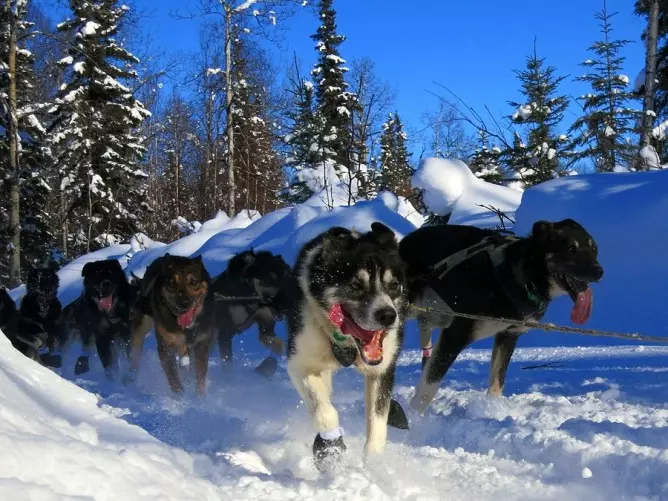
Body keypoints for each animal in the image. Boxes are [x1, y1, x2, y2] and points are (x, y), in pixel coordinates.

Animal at [128, 254, 214, 394]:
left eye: (194, 282)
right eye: (172, 284)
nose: (184, 303)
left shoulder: (201, 344)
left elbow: (200, 378)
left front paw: (199, 397)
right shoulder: (166, 346)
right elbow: (174, 380)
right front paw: (182, 398)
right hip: (140, 328)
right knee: (135, 354)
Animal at [211, 250, 290, 378]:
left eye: (287, 277)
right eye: (271, 279)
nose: (287, 305)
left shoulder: (266, 327)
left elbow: (279, 344)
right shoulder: (224, 332)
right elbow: (227, 366)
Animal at [288, 223, 408, 468]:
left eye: (394, 285)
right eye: (355, 285)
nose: (388, 316)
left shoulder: (382, 371)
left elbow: (377, 421)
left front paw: (374, 464)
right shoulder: (299, 364)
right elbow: (324, 411)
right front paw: (330, 445)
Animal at [402, 218, 604, 410]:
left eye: (594, 249)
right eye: (571, 248)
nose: (599, 271)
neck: (522, 279)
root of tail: (406, 241)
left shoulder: (509, 335)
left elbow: (497, 383)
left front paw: (491, 409)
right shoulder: (455, 335)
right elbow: (426, 390)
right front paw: (414, 419)